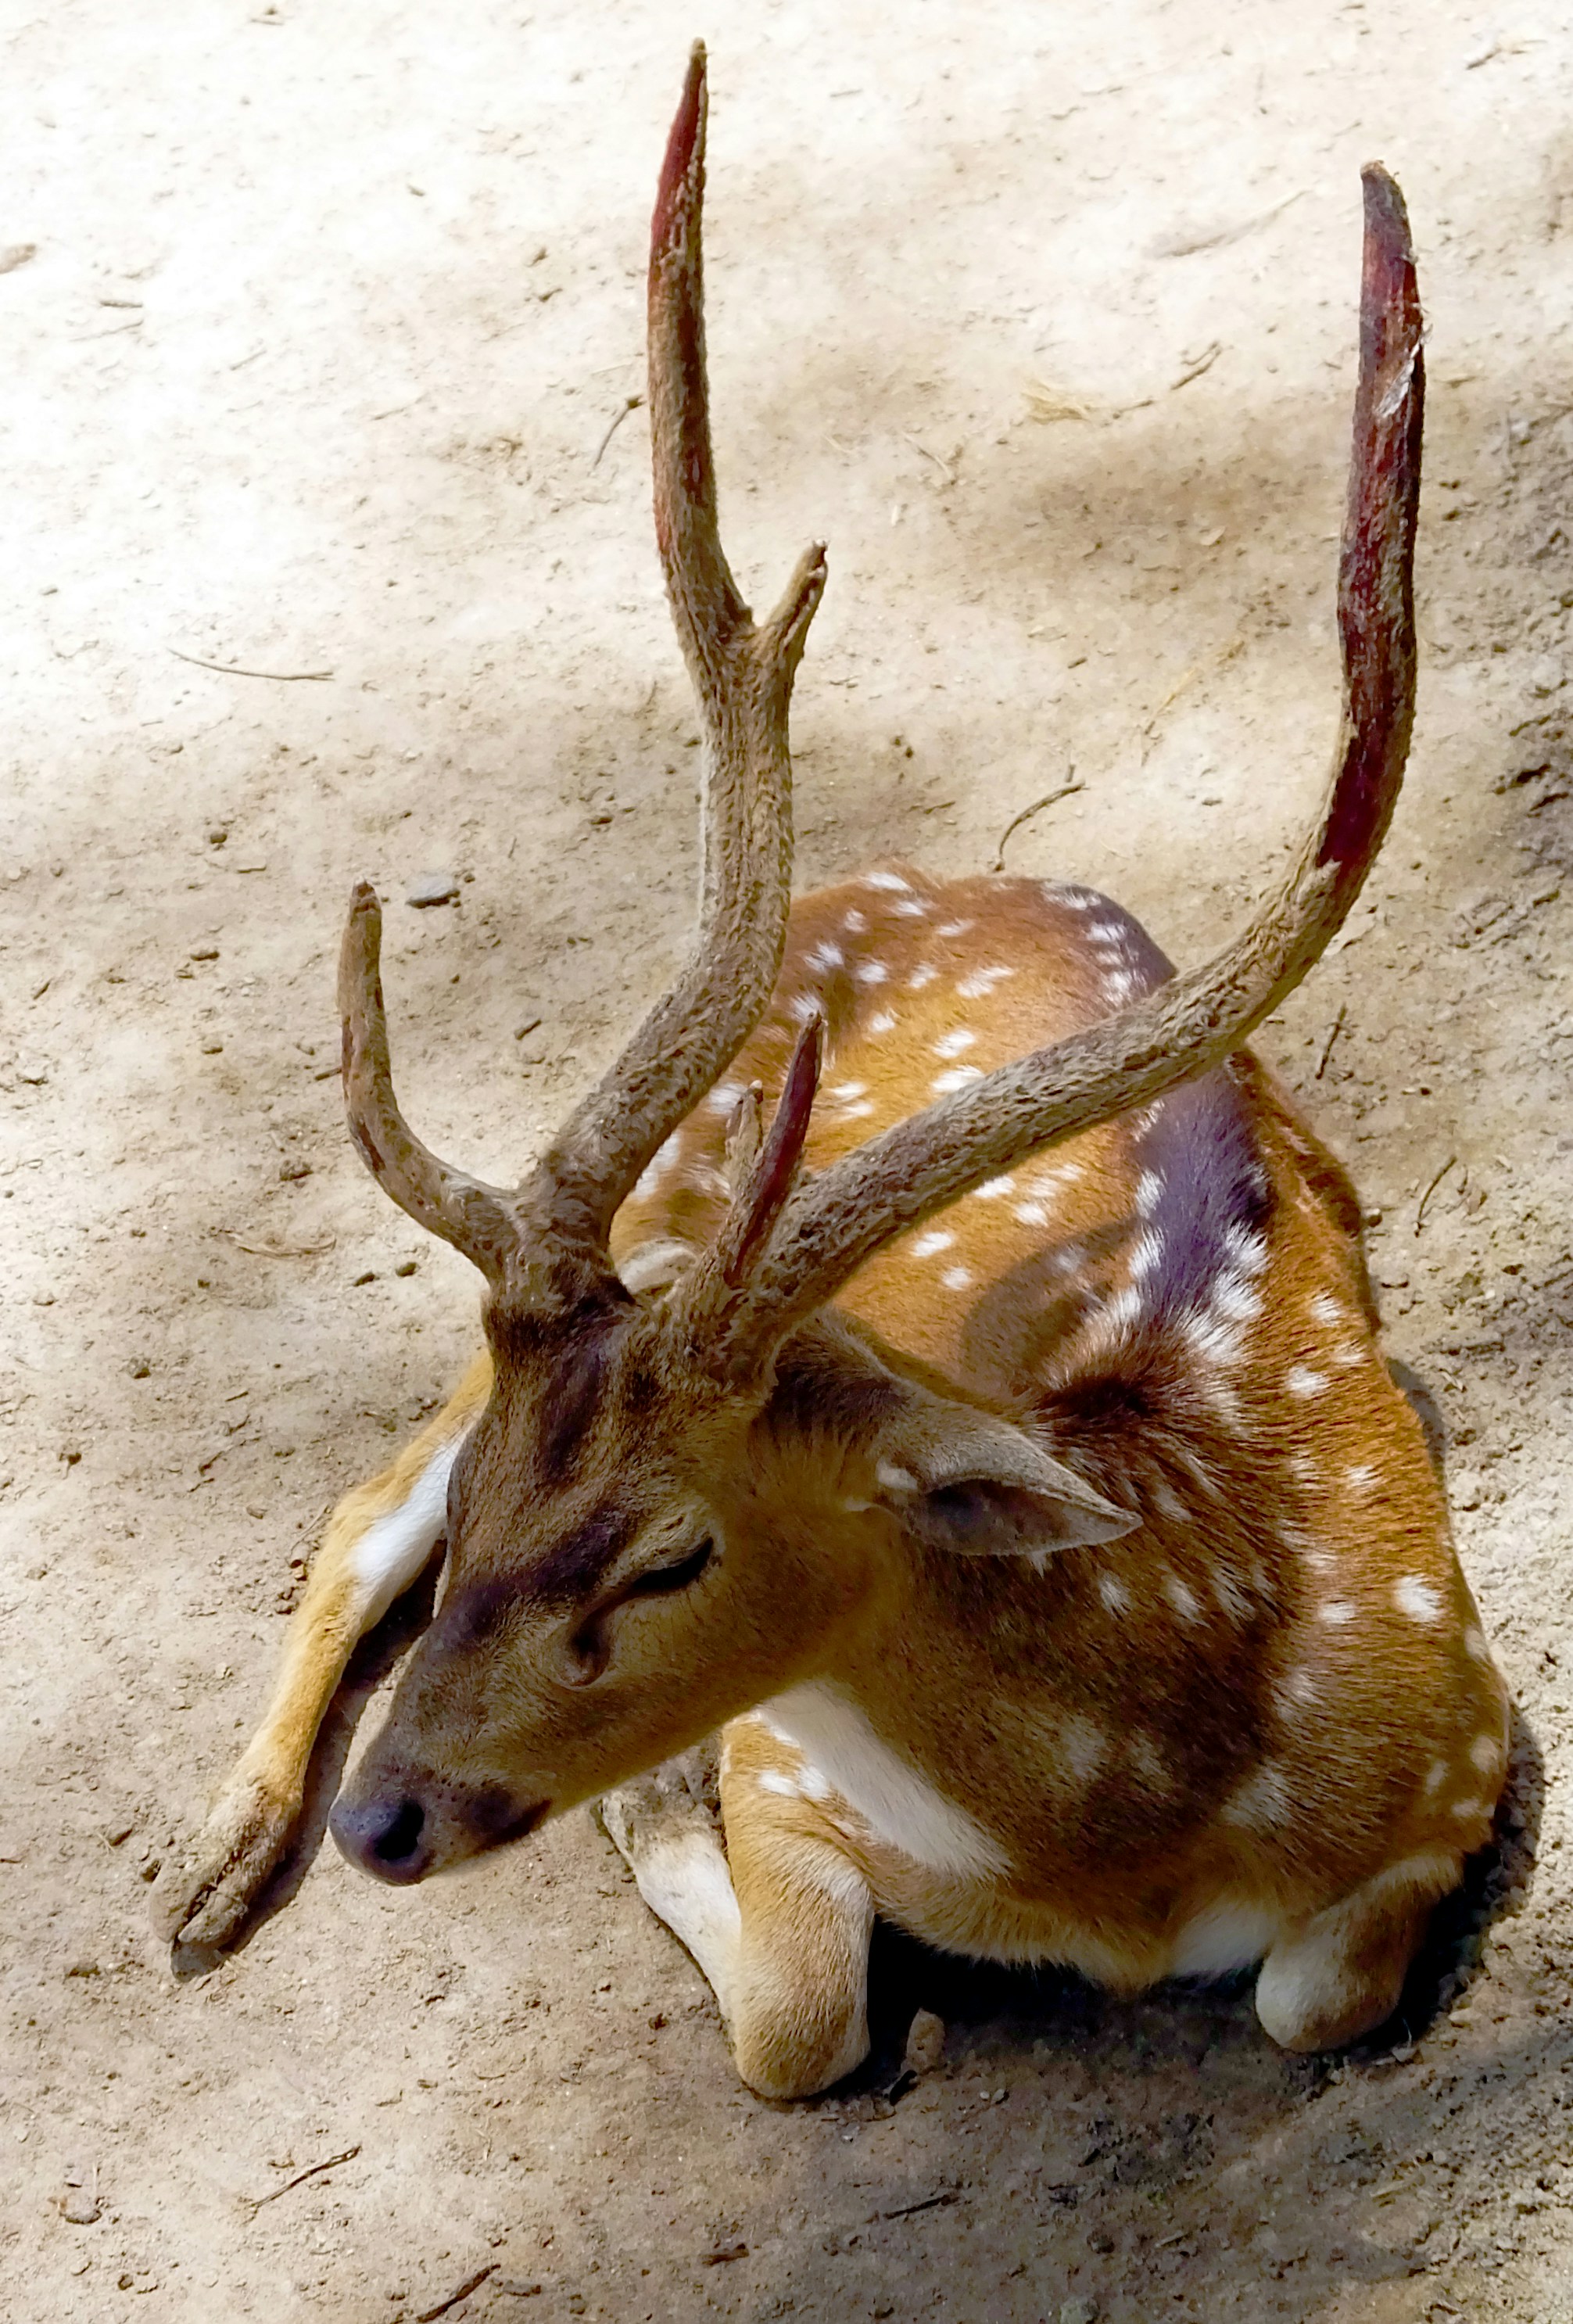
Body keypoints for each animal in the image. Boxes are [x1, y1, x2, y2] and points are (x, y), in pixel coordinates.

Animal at [156, 48, 1508, 2102]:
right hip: (660, 1194)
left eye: (669, 1556)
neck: (1123, 1841)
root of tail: (893, 871)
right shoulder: (788, 1772)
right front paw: (653, 1815)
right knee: (365, 1481)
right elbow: (797, 2025)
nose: (388, 1817)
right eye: (508, 1514)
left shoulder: (1464, 1737)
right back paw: (208, 1868)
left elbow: (1306, 1999)